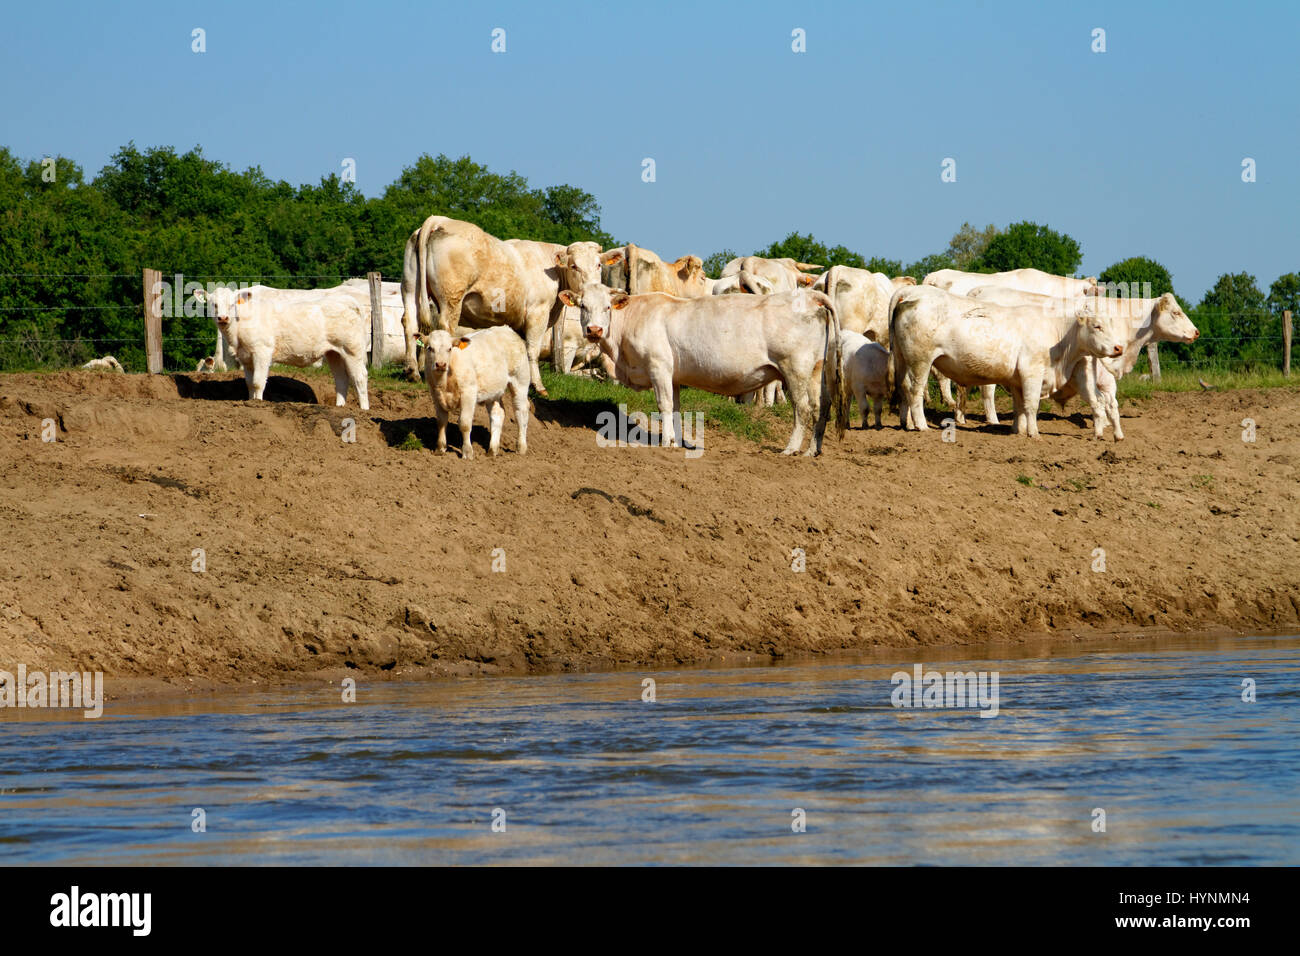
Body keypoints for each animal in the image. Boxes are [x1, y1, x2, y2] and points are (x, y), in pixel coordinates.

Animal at [193, 285, 369, 408]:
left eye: (232, 305)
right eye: (214, 304)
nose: (223, 318)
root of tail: (348, 300)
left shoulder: (262, 351)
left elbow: (258, 382)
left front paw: (258, 403)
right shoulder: (245, 357)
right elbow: (249, 383)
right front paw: (250, 401)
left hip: (352, 349)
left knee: (360, 377)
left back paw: (364, 409)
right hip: (334, 352)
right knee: (341, 379)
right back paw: (340, 407)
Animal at [400, 215, 568, 396]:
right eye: (574, 266)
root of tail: (439, 220)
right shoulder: (538, 312)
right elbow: (532, 350)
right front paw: (539, 387)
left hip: (411, 286)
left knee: (410, 323)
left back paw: (412, 372)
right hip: (451, 297)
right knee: (445, 328)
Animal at [423, 326, 530, 459]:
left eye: (450, 348)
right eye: (430, 348)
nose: (441, 364)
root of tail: (507, 328)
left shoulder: (469, 392)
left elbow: (464, 423)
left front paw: (467, 452)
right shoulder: (435, 394)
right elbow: (442, 421)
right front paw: (440, 449)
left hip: (520, 381)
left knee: (521, 411)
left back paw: (521, 448)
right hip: (493, 391)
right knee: (497, 413)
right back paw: (492, 450)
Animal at [559, 285, 846, 456]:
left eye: (607, 307)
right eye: (583, 306)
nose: (594, 330)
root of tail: (808, 294)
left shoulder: (658, 367)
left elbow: (663, 405)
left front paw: (665, 442)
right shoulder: (673, 376)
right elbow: (675, 408)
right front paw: (677, 441)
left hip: (794, 369)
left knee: (803, 409)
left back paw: (790, 449)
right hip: (817, 372)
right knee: (822, 408)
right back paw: (812, 451)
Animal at [890, 285, 1127, 438]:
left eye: (1111, 323)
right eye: (1097, 325)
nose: (1119, 348)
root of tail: (912, 291)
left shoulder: (1017, 378)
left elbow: (1019, 406)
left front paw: (1018, 431)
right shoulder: (1032, 372)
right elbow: (1031, 404)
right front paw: (1033, 433)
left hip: (901, 358)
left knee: (903, 387)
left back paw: (907, 424)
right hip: (920, 361)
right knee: (915, 391)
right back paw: (921, 425)